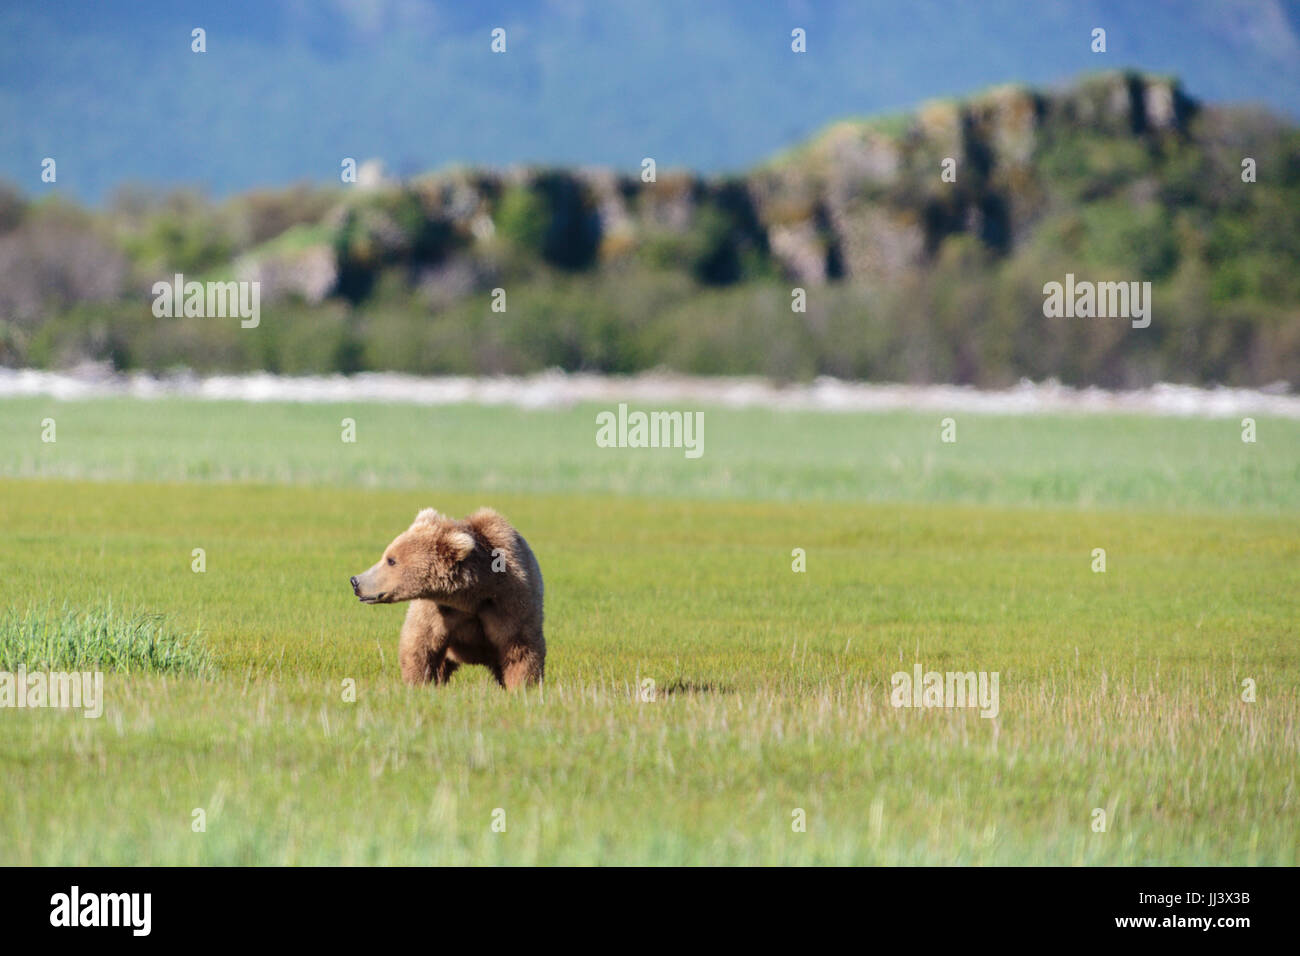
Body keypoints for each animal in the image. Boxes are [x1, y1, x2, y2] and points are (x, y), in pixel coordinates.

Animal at [350, 507, 544, 689]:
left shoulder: (510, 602)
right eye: (387, 556)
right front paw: (418, 684)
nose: (355, 581)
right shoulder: (435, 610)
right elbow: (420, 645)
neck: (472, 597)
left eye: (391, 560)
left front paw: (521, 687)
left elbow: (520, 650)